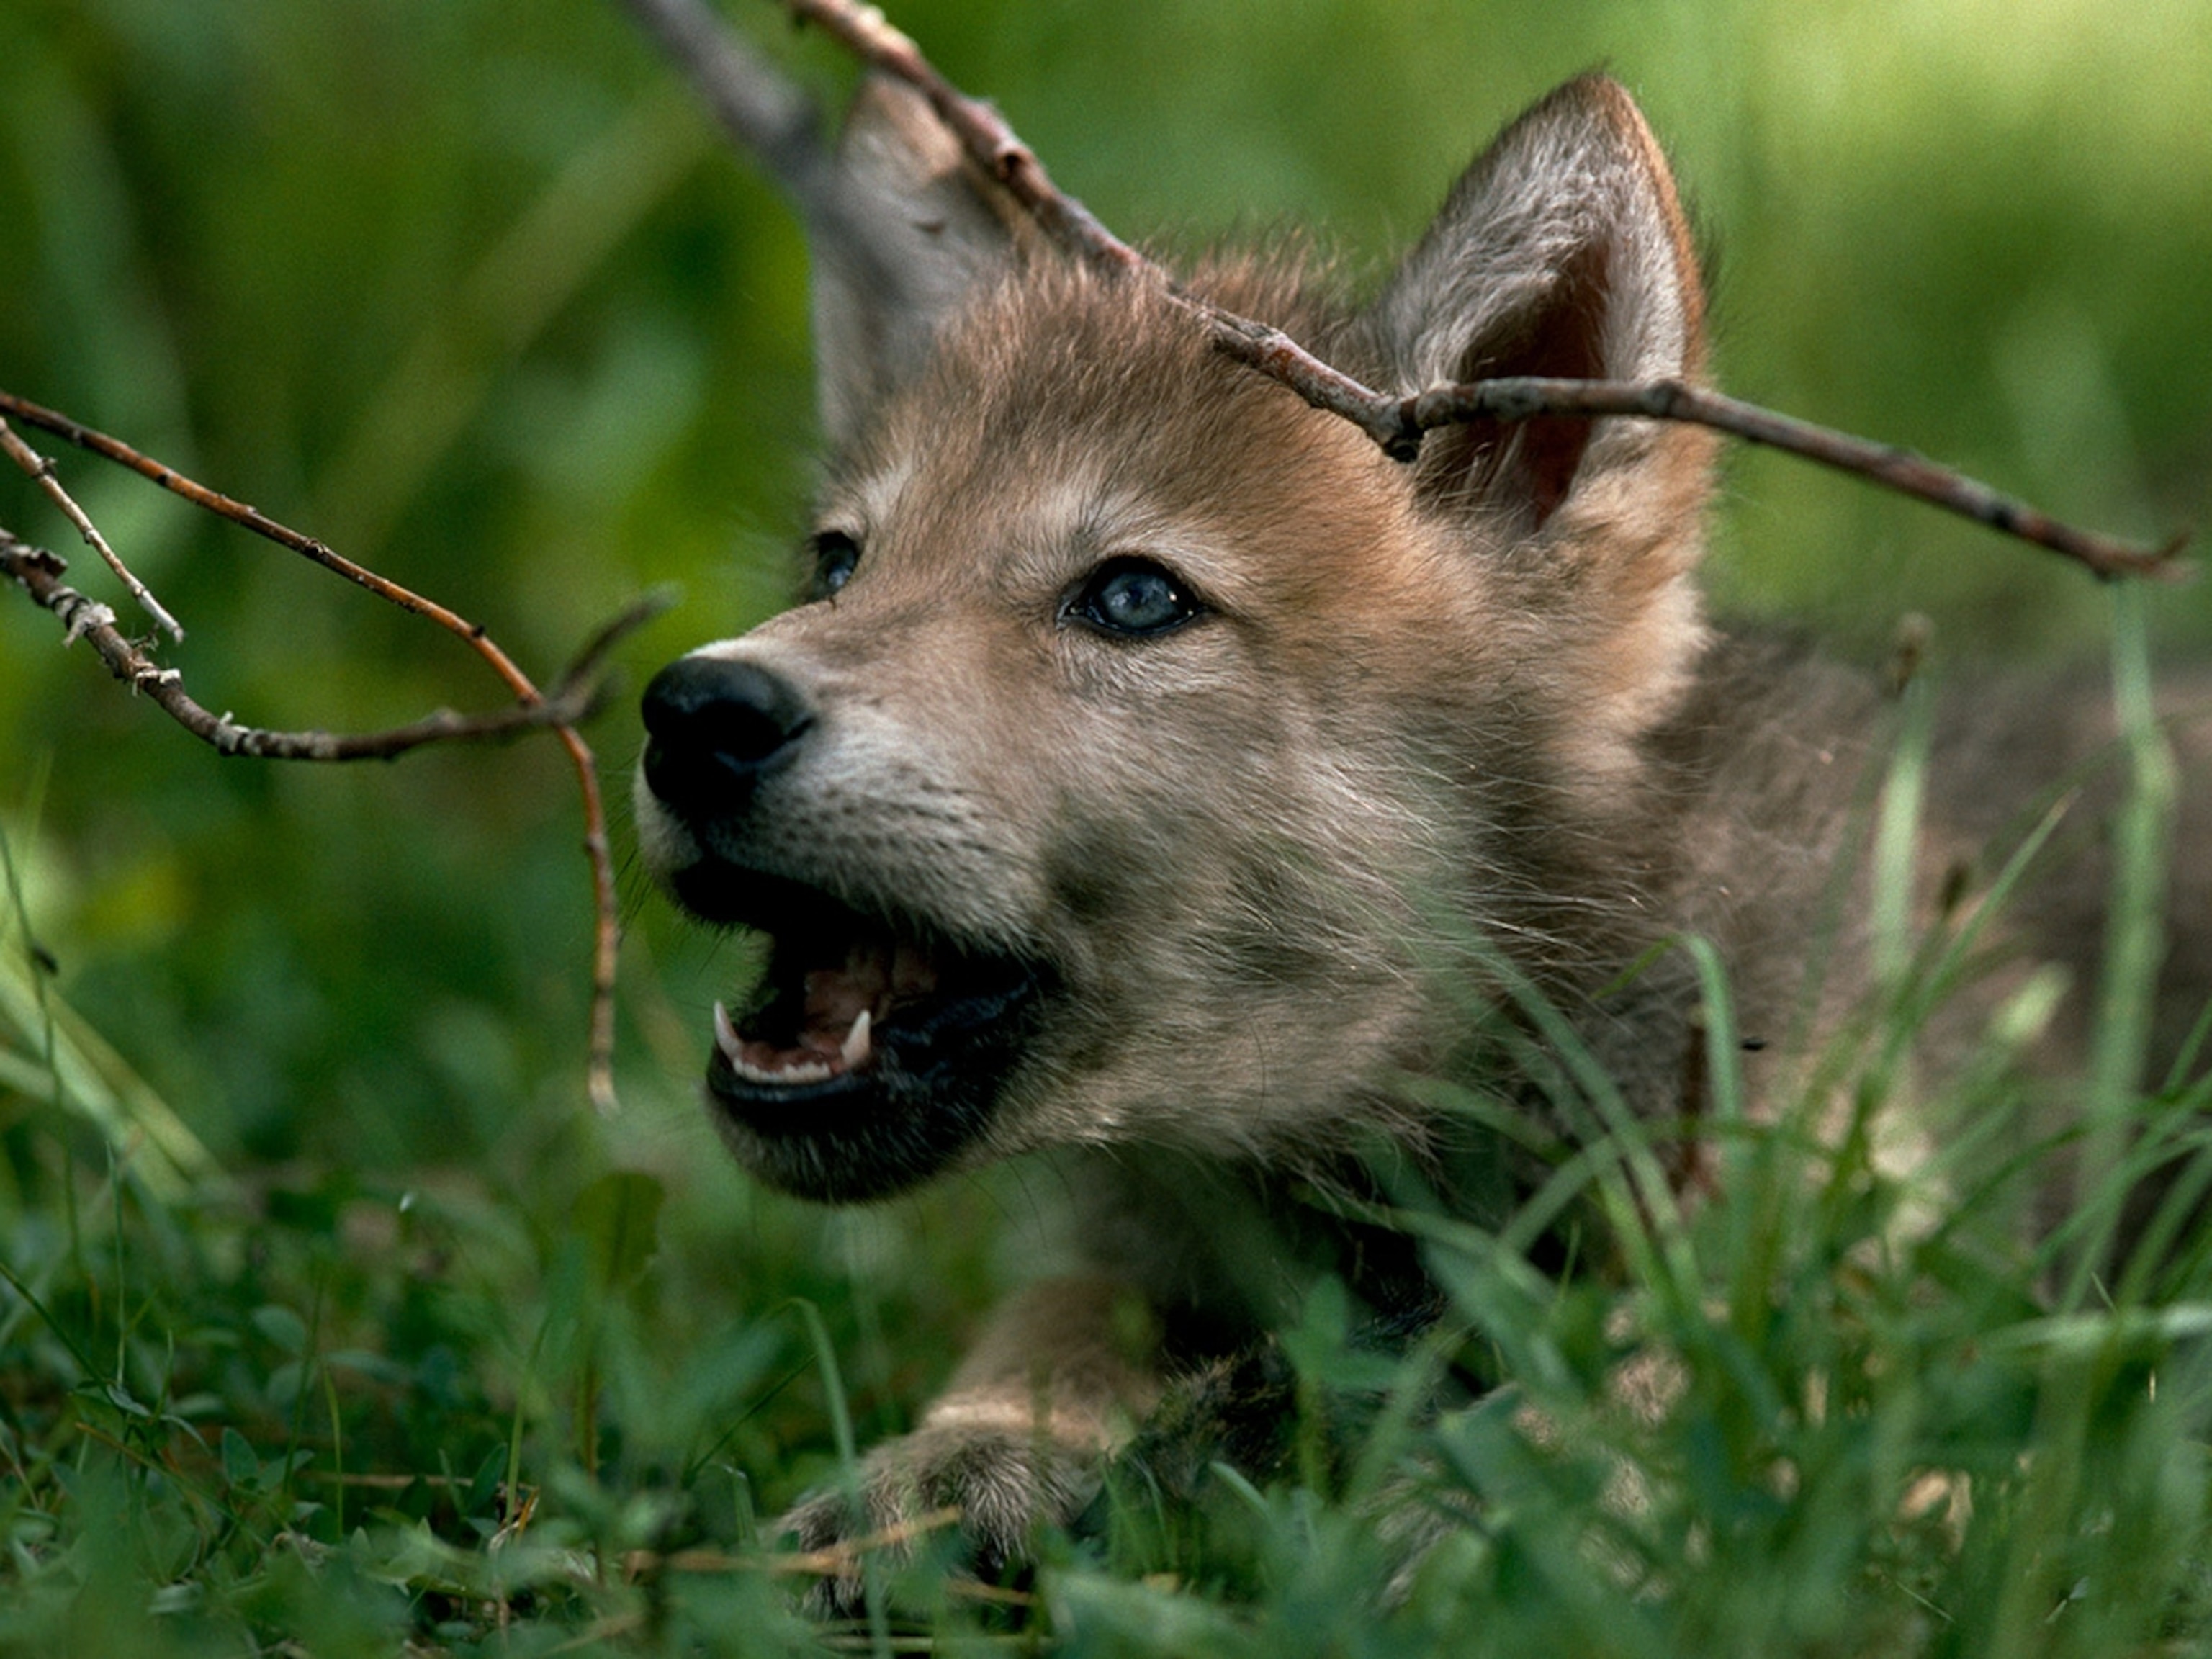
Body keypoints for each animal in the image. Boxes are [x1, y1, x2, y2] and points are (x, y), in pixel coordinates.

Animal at [633, 70, 2211, 1598]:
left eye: (1134, 597)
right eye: (837, 565)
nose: (694, 711)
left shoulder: (1926, 1311)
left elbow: (1694, 1374)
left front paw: (1505, 1515)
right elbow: (1048, 1323)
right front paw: (939, 1470)